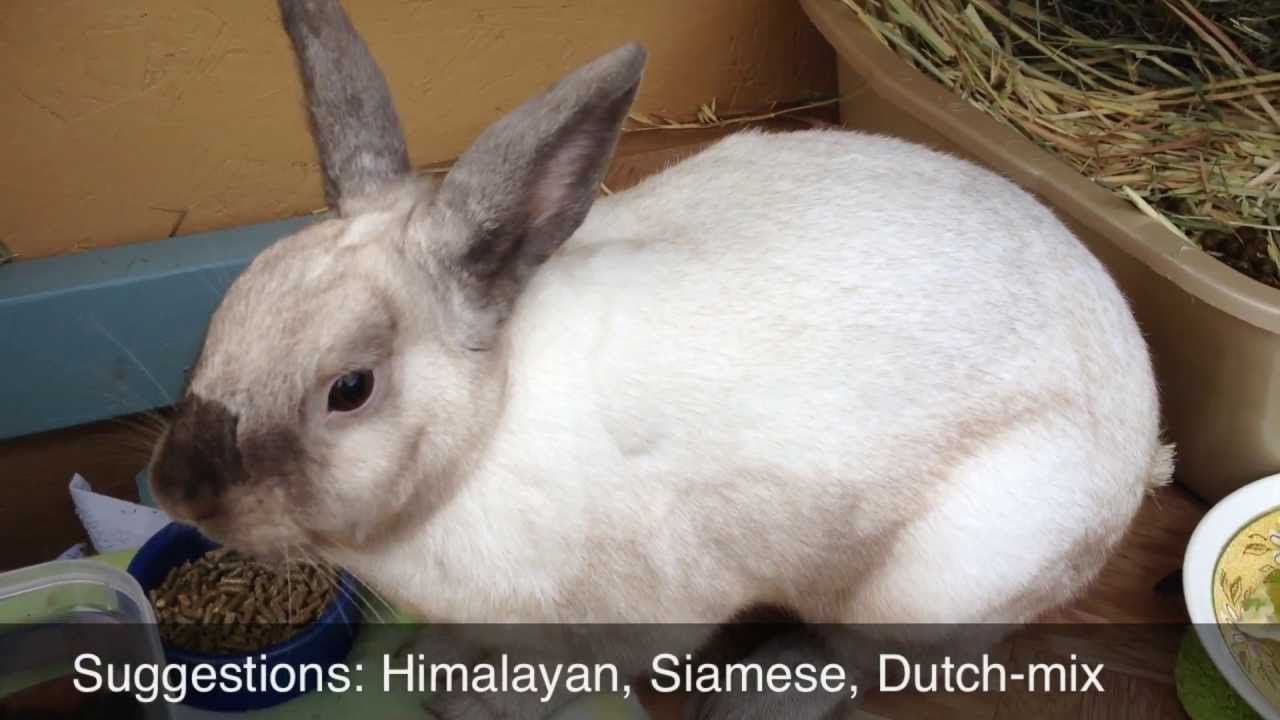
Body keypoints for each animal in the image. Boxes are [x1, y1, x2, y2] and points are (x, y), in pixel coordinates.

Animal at [147, 0, 1174, 717]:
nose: (178, 491)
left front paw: (478, 698)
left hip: (938, 579)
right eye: (225, 313)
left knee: (867, 658)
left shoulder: (634, 612)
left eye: (350, 389)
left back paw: (762, 697)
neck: (487, 430)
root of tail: (1142, 439)